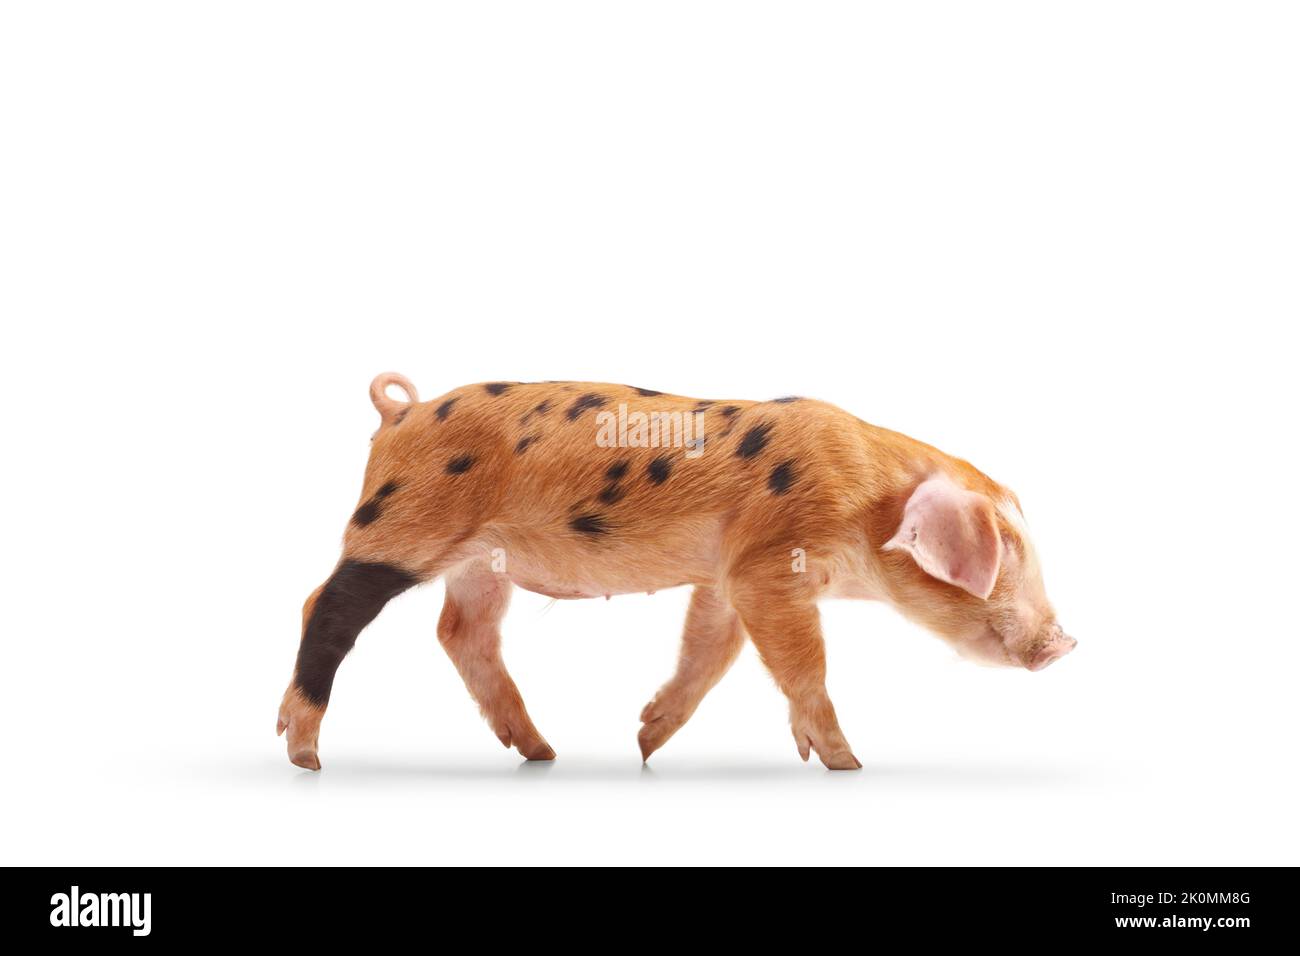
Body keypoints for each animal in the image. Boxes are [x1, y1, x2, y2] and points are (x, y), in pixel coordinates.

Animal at [277, 374, 1075, 771]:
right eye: (1008, 551)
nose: (1065, 643)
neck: (864, 497)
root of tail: (400, 414)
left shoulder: (726, 575)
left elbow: (707, 652)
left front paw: (645, 744)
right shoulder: (770, 565)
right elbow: (803, 663)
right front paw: (849, 763)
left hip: (479, 561)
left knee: (461, 632)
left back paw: (542, 752)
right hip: (401, 525)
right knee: (325, 605)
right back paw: (306, 755)